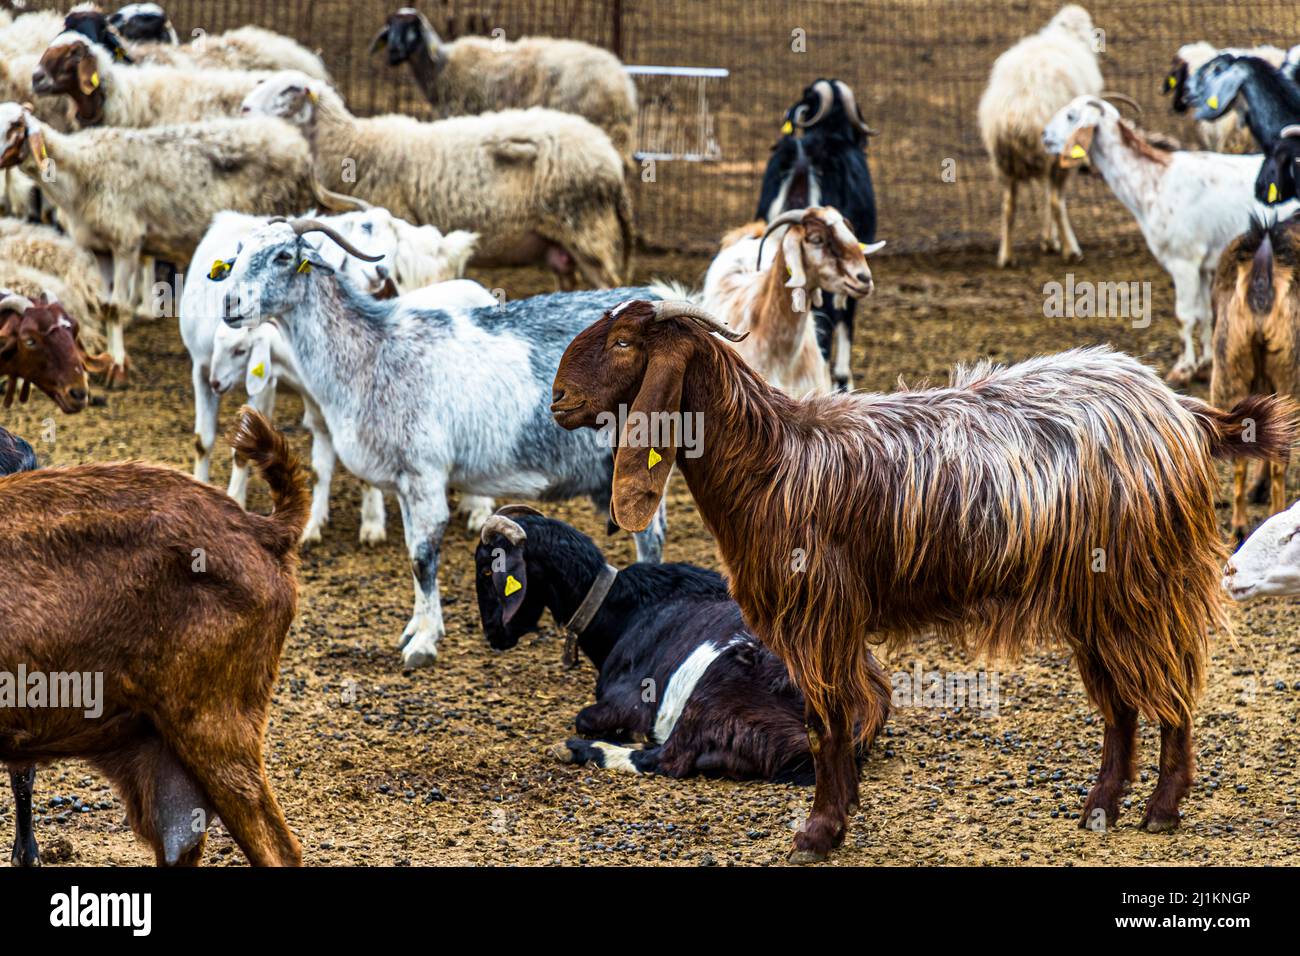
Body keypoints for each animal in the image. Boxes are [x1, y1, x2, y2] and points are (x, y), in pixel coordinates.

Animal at [215, 218, 668, 667]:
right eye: (236, 255)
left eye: (283, 256)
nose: (229, 304)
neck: (373, 353)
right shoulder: (403, 482)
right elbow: (414, 554)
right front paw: (416, 628)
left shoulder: (425, 473)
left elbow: (422, 556)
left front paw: (424, 643)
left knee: (651, 537)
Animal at [476, 506, 889, 781]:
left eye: (487, 567)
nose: (494, 634)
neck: (625, 608)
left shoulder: (626, 701)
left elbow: (587, 717)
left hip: (713, 693)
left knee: (665, 759)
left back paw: (576, 749)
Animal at [552, 298, 1296, 862]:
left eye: (623, 343)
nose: (558, 399)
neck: (773, 463)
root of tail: (1182, 412)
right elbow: (838, 719)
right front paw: (840, 810)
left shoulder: (819, 613)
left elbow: (826, 720)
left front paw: (819, 831)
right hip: (1094, 593)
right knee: (1120, 702)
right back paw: (1101, 807)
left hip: (1142, 582)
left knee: (1169, 686)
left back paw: (1162, 809)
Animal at [1043, 94, 1295, 386]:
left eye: (1071, 116)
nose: (1044, 136)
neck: (1155, 180)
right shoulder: (1203, 265)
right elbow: (1205, 314)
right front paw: (1205, 365)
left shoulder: (1183, 260)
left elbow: (1183, 316)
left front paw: (1183, 369)